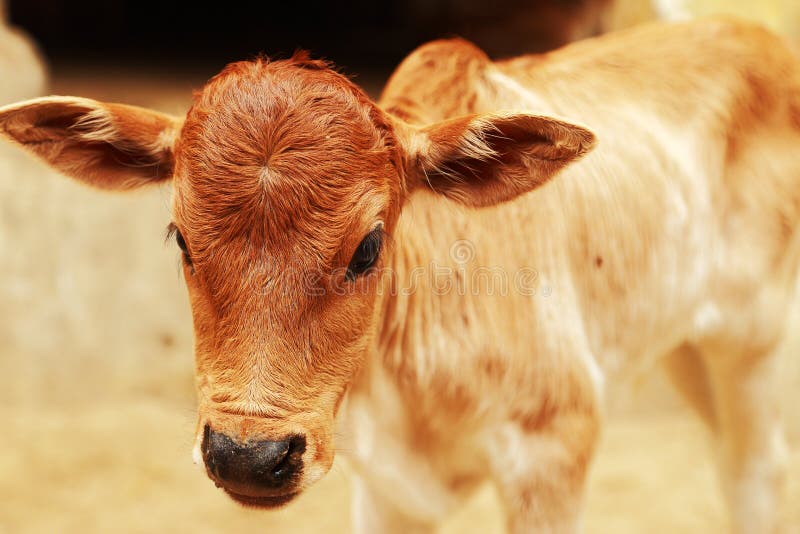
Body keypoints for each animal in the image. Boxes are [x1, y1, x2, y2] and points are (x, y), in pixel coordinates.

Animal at [0, 17, 798, 534]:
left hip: (755, 352)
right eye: (181, 240)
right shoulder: (385, 487)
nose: (250, 457)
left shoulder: (554, 450)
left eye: (368, 247)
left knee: (754, 475)